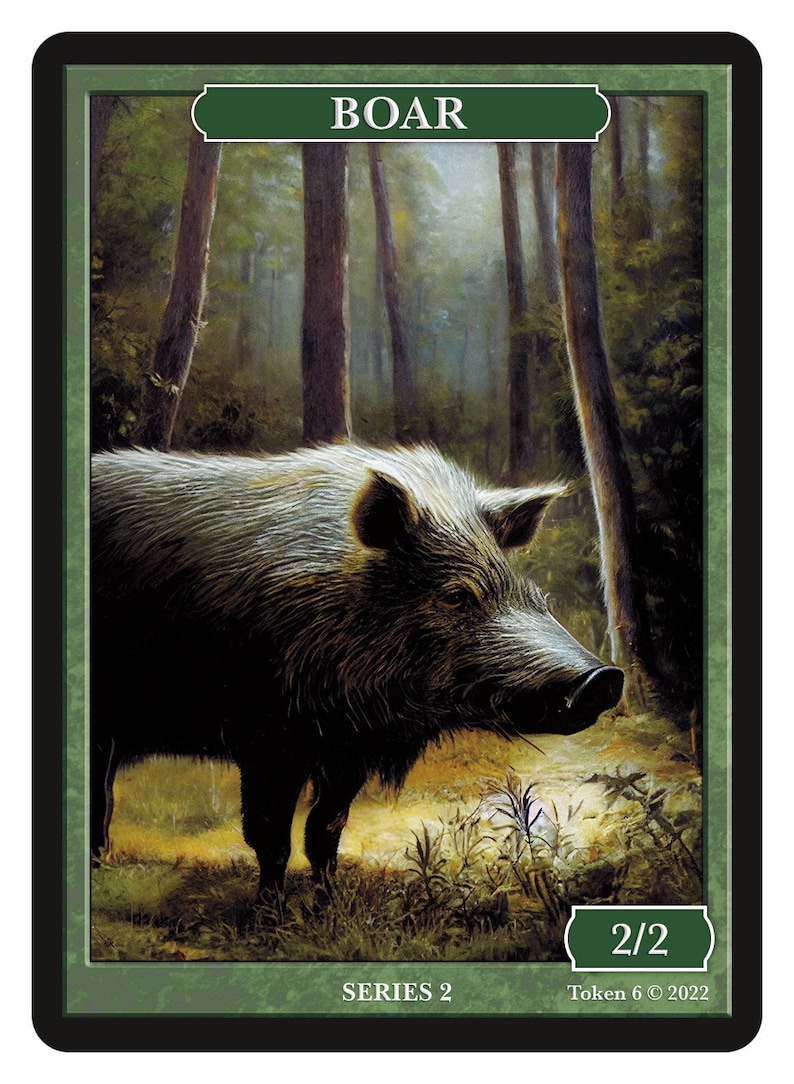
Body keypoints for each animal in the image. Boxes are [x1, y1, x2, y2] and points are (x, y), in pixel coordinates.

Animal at [90, 443, 622, 898]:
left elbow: (324, 831)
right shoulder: (269, 737)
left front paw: (329, 904)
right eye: (456, 595)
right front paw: (271, 916)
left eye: (530, 592)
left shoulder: (350, 747)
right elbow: (271, 837)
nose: (604, 679)